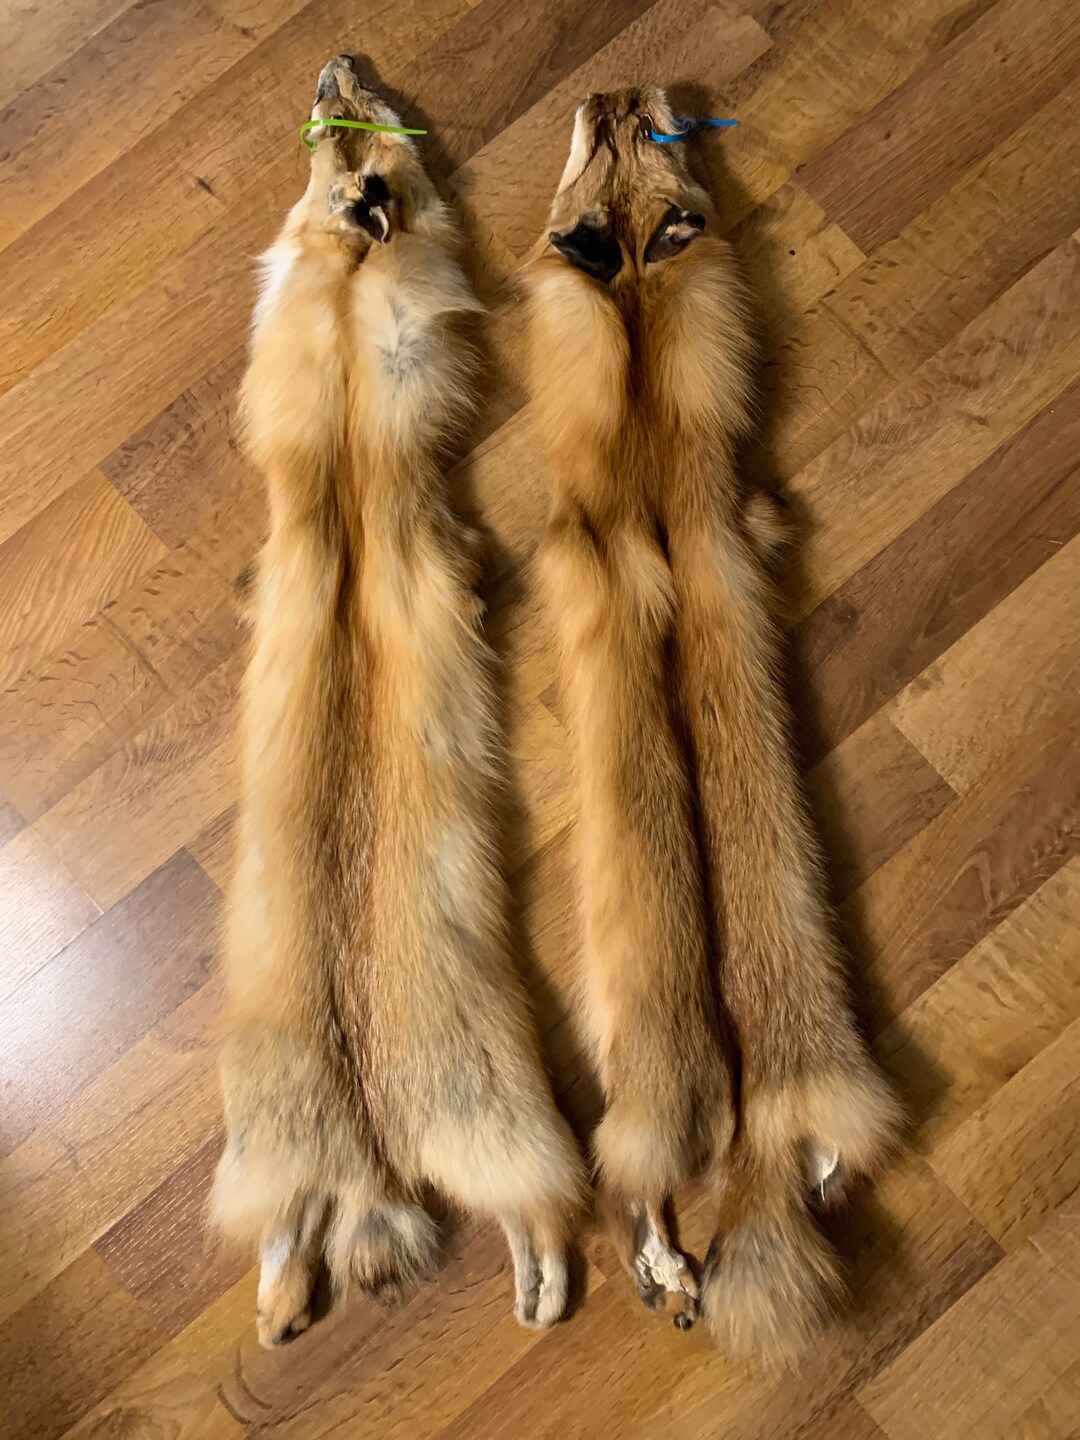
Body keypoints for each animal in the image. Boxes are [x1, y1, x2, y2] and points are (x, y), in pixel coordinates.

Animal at [211, 55, 583, 1348]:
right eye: (345, 129)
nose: (341, 58)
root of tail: (368, 1127)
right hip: (509, 1127)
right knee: (540, 1214)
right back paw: (547, 1294)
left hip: (281, 1161)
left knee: (287, 1240)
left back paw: (280, 1318)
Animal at [526, 87, 900, 1361]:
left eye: (633, 141)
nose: (616, 89)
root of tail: (746, 1106)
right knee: (816, 1163)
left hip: (631, 1104)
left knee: (637, 1196)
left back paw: (671, 1279)